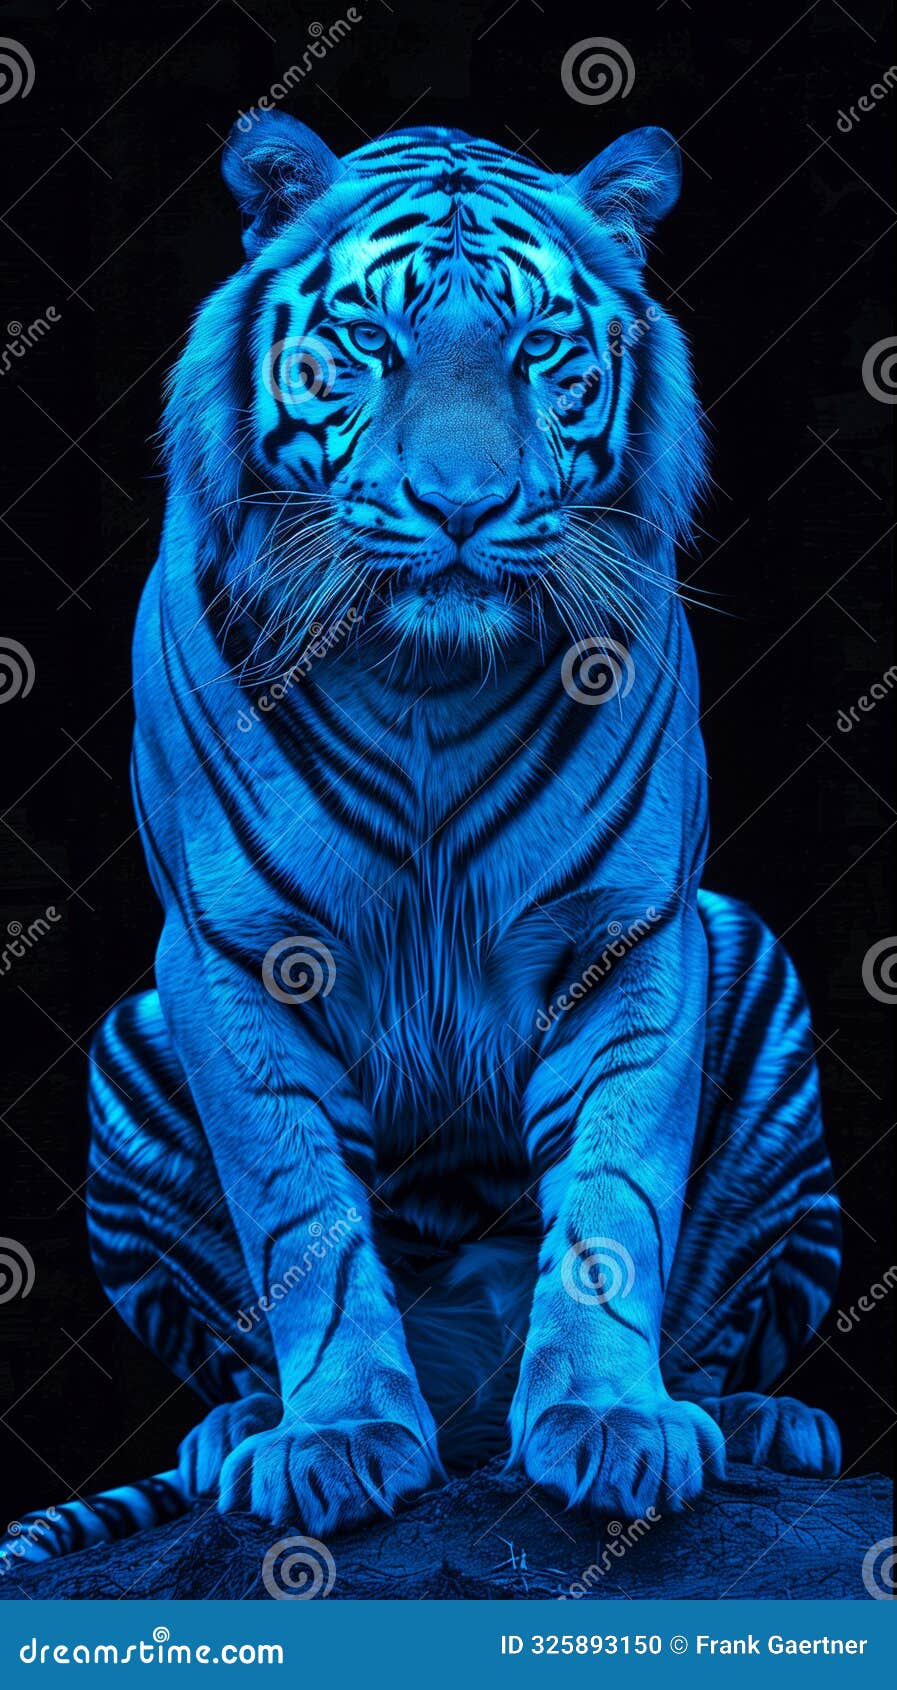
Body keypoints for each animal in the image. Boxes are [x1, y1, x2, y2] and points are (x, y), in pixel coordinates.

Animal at [5, 114, 842, 1571]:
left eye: (538, 348)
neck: (426, 681)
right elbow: (300, 1214)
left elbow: (617, 1190)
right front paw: (335, 1439)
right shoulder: (228, 959)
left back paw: (755, 1419)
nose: (461, 504)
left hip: (758, 966)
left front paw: (614, 1421)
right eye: (372, 341)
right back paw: (243, 1431)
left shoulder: (631, 936)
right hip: (128, 1043)